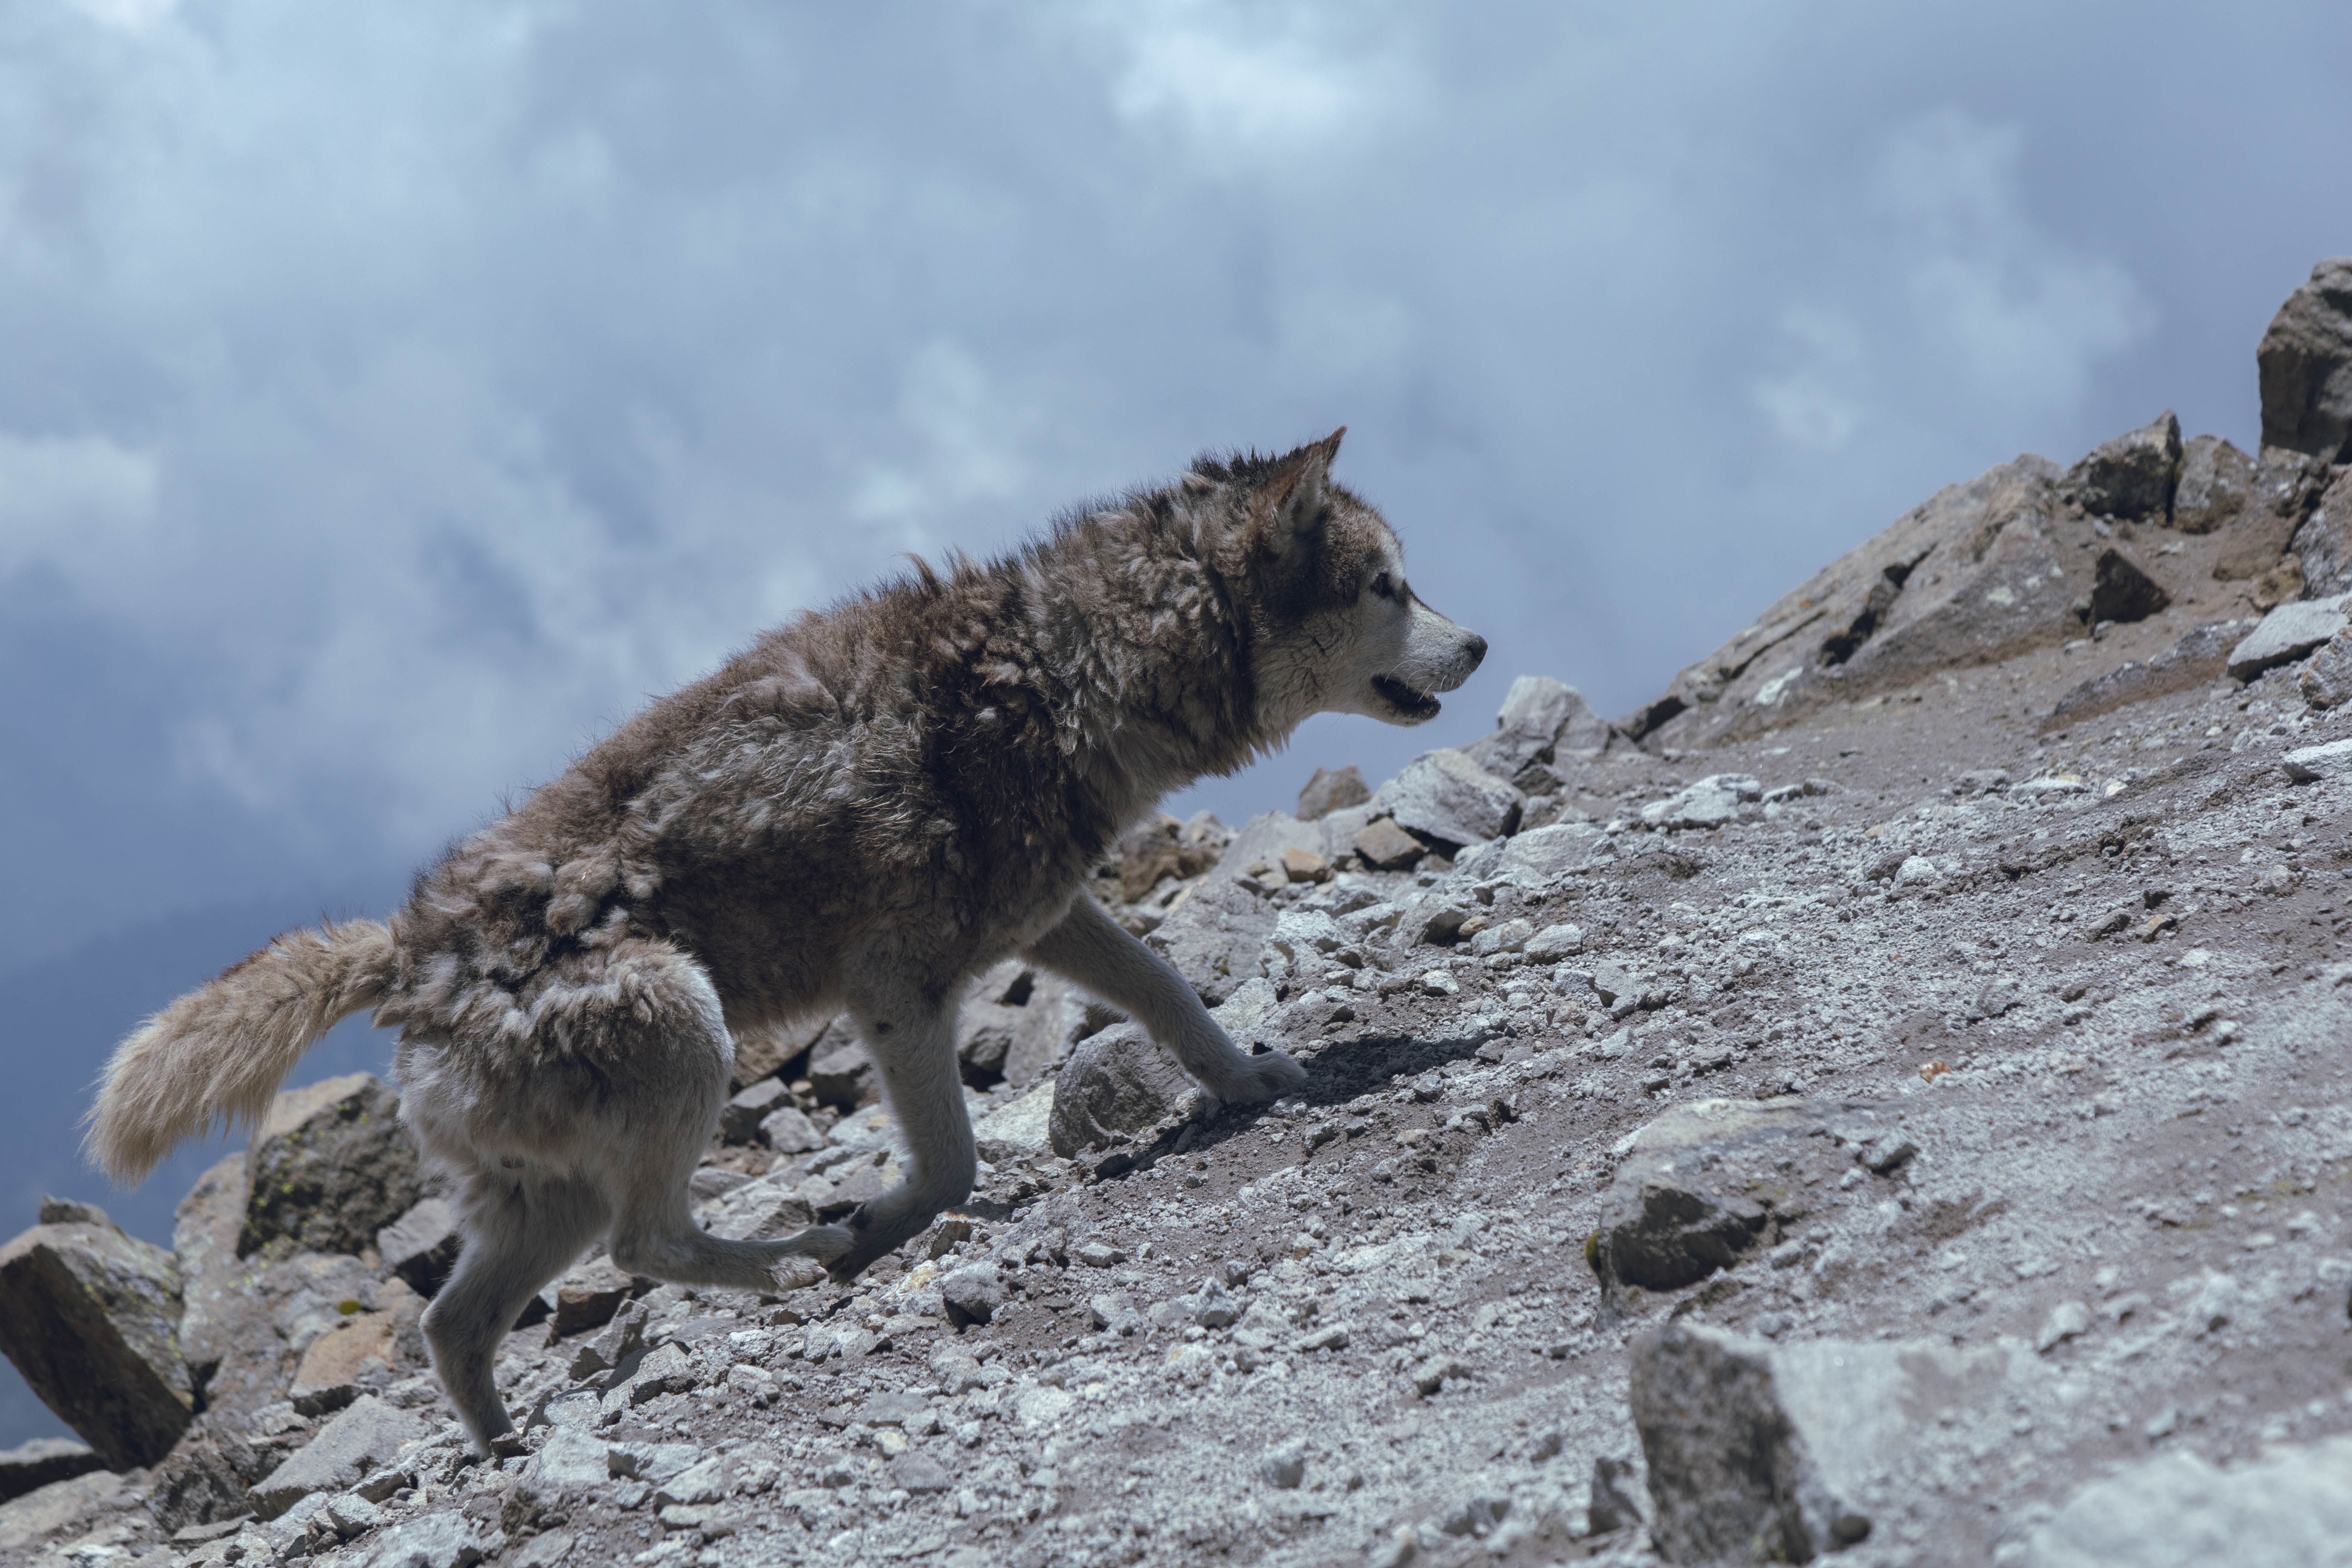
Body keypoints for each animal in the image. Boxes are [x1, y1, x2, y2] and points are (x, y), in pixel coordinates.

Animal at [88, 428, 1484, 1448]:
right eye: (1387, 584)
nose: (1479, 642)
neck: (1068, 670)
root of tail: (410, 947)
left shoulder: (1050, 919)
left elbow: (1169, 994)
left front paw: (1247, 1079)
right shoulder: (898, 991)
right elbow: (953, 1169)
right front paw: (877, 1226)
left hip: (545, 1191)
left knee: (456, 1325)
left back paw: (507, 1451)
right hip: (686, 1040)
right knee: (642, 1246)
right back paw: (799, 1261)